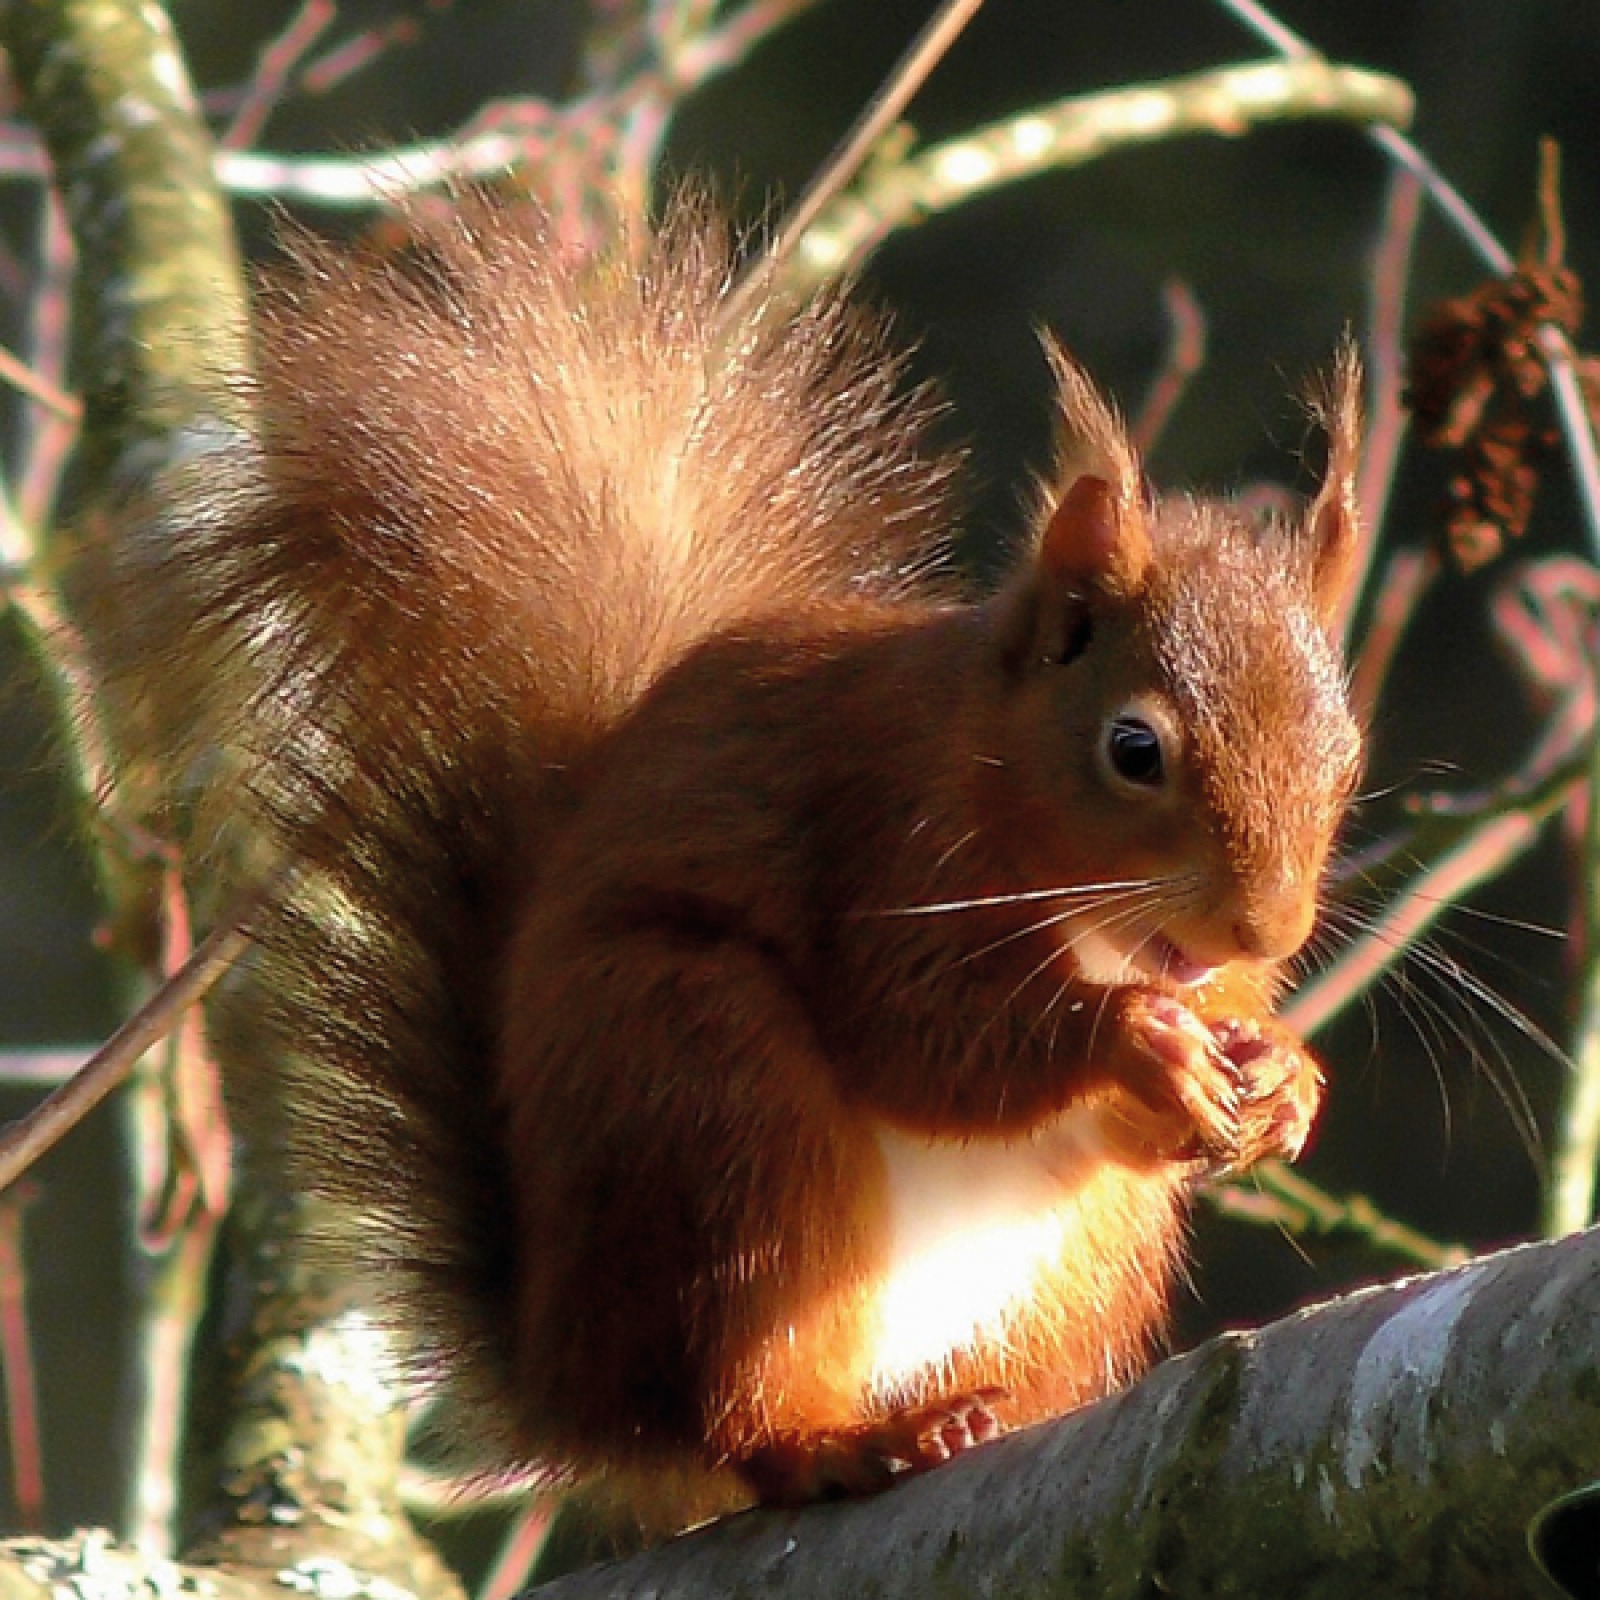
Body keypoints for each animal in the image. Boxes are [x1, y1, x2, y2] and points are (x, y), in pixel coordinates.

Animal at [78, 195, 1364, 1522]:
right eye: (1132, 747)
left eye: (1346, 750)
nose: (1263, 928)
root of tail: (570, 1378)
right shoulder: (876, 842)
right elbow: (925, 1038)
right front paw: (1133, 1039)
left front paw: (1283, 1075)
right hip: (715, 1110)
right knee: (741, 1409)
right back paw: (843, 1440)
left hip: (1077, 1255)